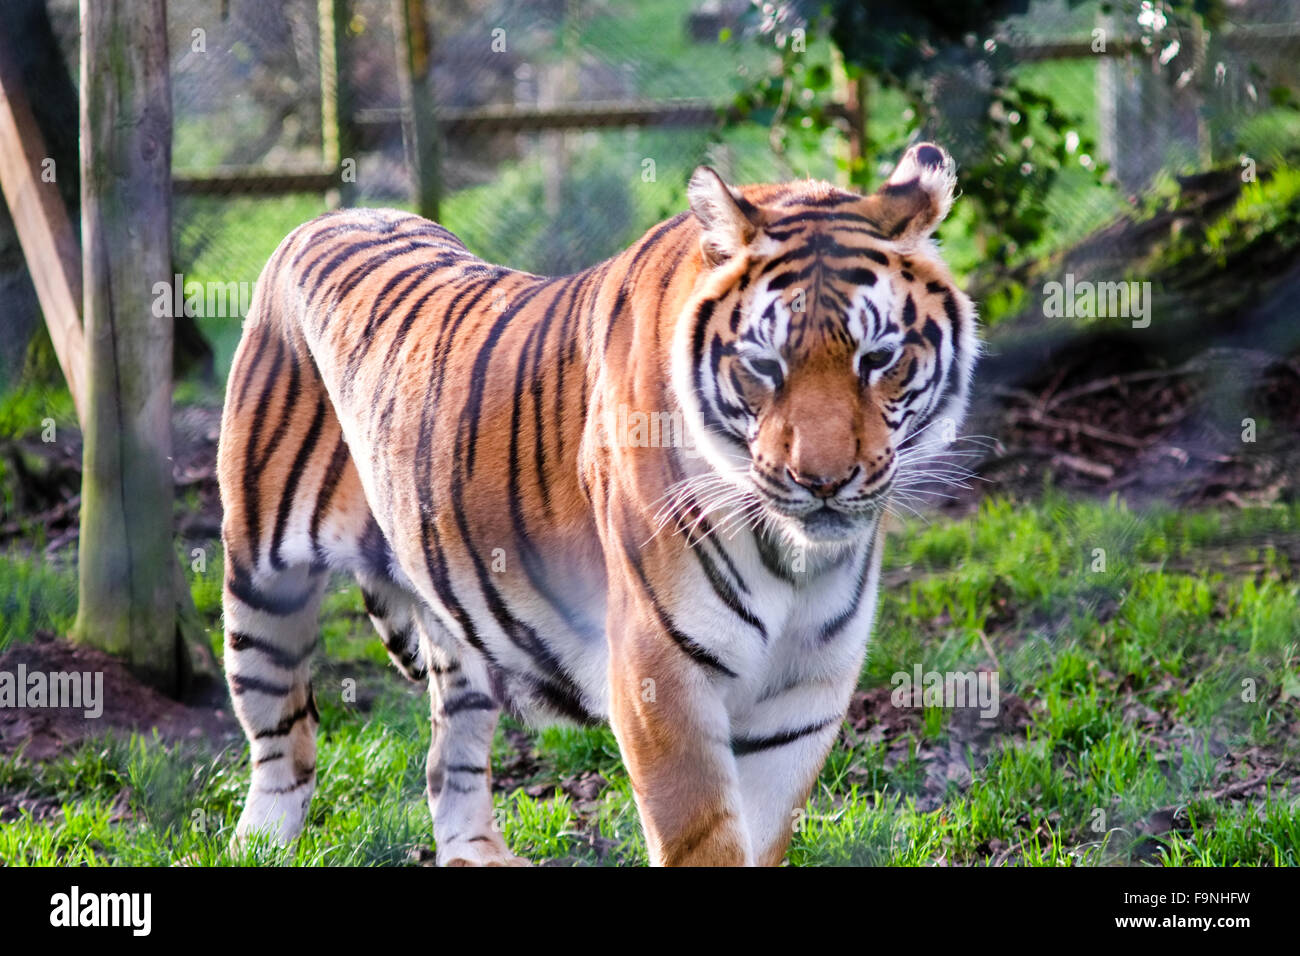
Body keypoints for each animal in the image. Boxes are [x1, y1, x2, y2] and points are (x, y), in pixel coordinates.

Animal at [216, 141, 978, 866]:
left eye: (877, 359)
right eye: (765, 365)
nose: (822, 480)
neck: (794, 559)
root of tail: (330, 215)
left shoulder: (805, 693)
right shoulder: (659, 674)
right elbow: (705, 841)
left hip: (458, 618)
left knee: (448, 753)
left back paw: (477, 854)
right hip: (263, 581)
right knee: (281, 737)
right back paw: (262, 846)